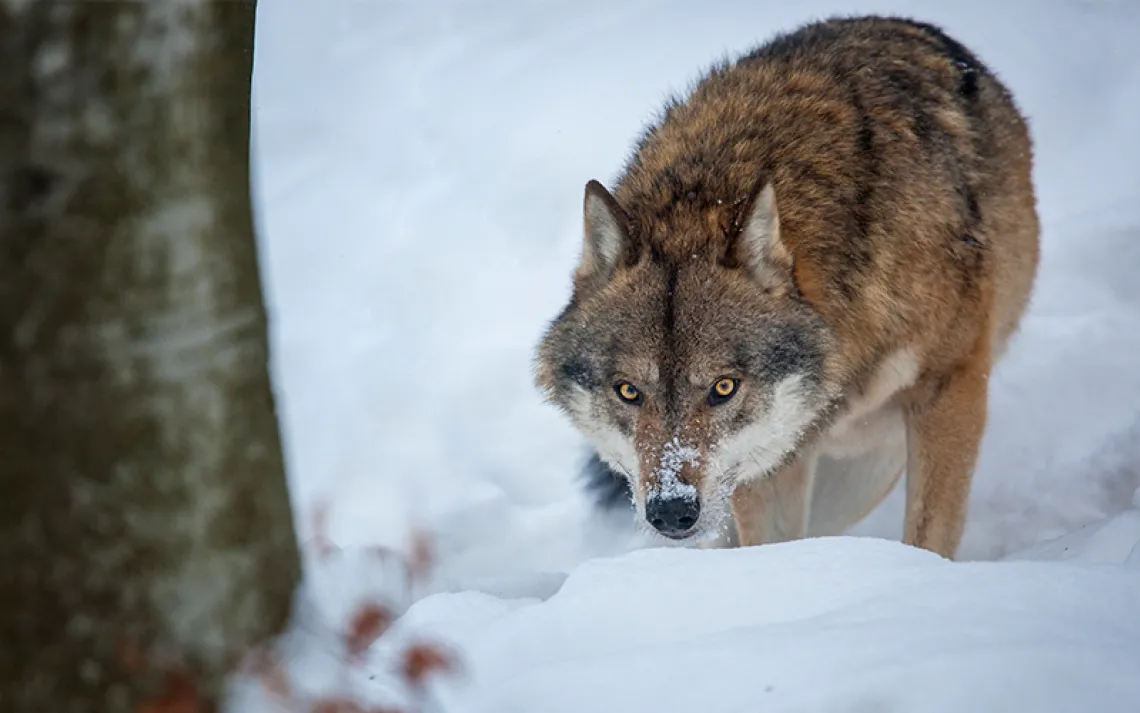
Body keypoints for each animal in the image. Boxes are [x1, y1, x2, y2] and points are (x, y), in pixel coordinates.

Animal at [535, 16, 1039, 559]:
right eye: (628, 391)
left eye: (723, 388)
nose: (671, 511)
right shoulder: (767, 460)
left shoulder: (950, 385)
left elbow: (929, 540)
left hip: (869, 467)